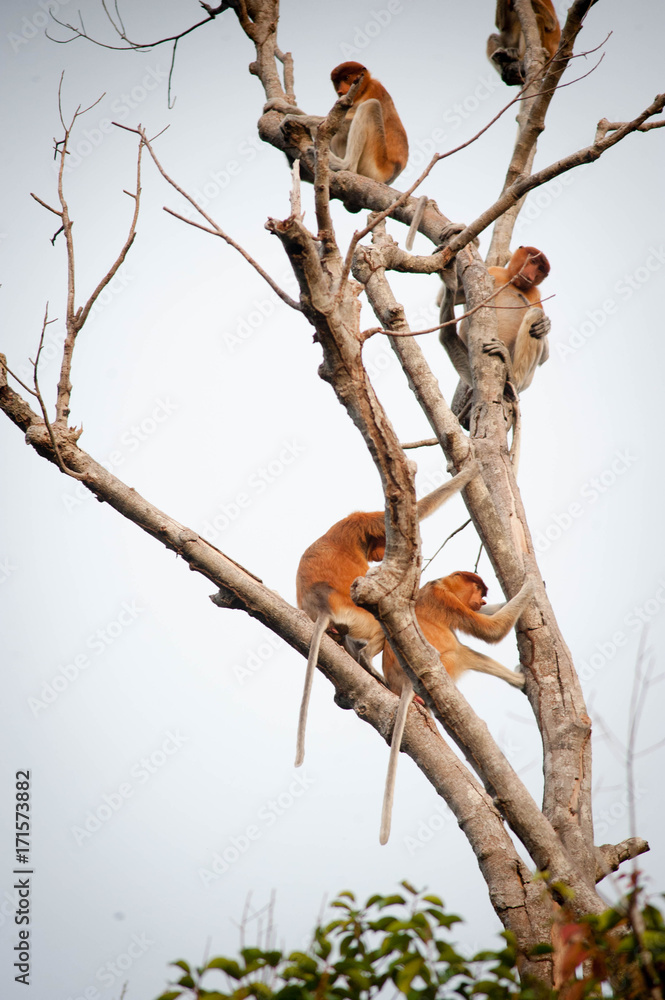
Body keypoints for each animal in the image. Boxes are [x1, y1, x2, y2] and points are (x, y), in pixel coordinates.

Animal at [294, 462, 479, 768]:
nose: (380, 553)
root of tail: (321, 606)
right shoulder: (363, 522)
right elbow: (418, 509)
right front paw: (475, 466)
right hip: (358, 616)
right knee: (382, 627)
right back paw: (368, 664)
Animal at [379, 570, 534, 844]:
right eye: (480, 590)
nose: (482, 601)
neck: (441, 583)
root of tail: (403, 682)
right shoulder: (446, 599)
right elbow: (490, 630)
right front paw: (531, 584)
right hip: (445, 664)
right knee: (462, 651)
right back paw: (520, 680)